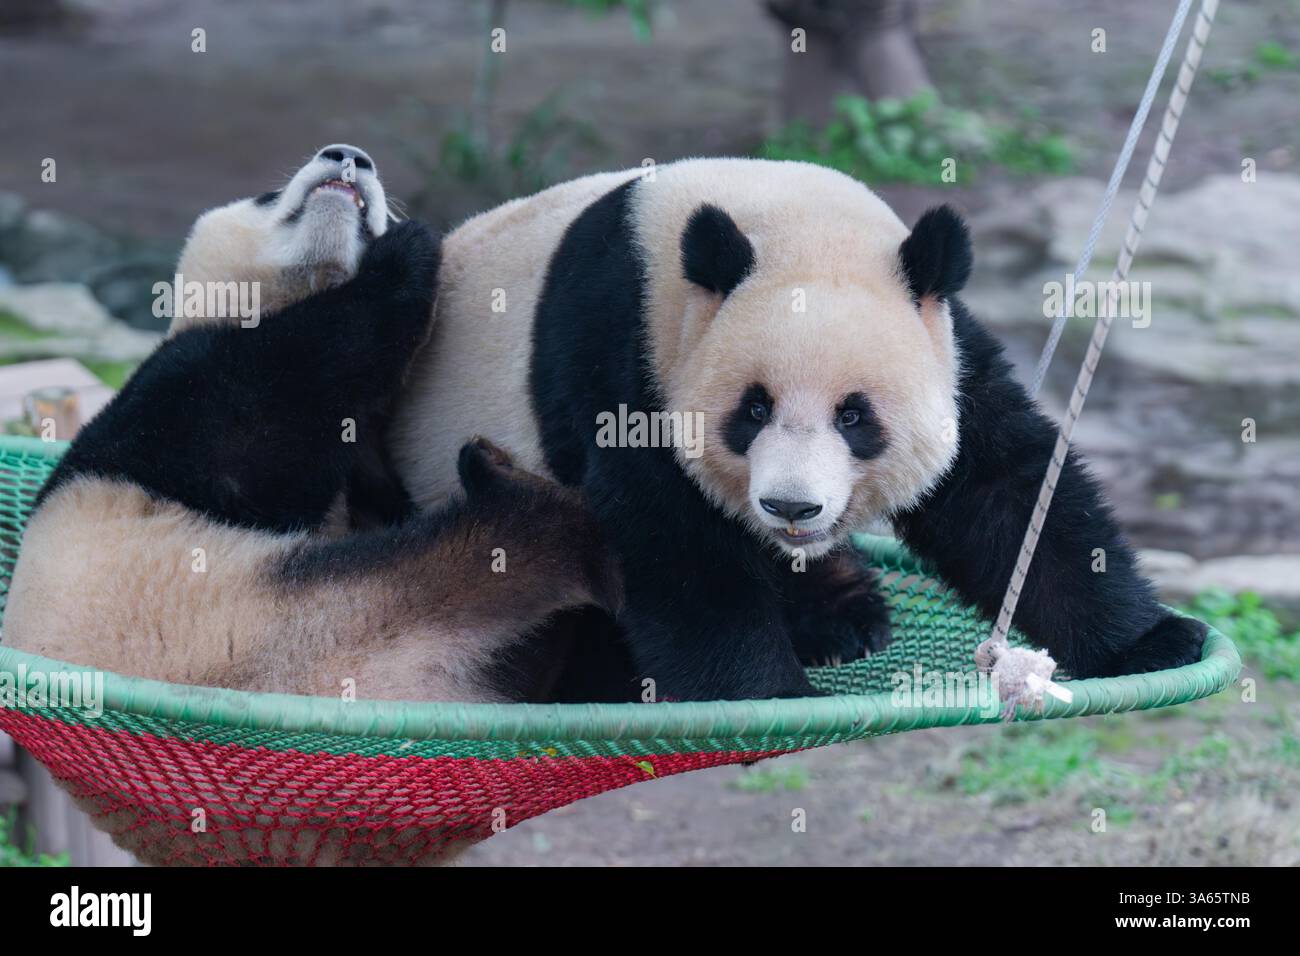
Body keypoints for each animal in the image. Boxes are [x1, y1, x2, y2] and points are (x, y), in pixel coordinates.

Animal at [2, 145, 621, 705]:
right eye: (268, 195)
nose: (348, 156)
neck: (305, 289)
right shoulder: (180, 389)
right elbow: (263, 440)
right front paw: (407, 251)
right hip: (258, 602)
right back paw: (531, 513)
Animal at [389, 157, 1207, 702]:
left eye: (855, 415)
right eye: (752, 410)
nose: (791, 507)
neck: (793, 226)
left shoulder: (947, 345)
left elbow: (1001, 490)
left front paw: (1152, 641)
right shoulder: (628, 354)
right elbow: (673, 538)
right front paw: (765, 693)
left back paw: (844, 618)